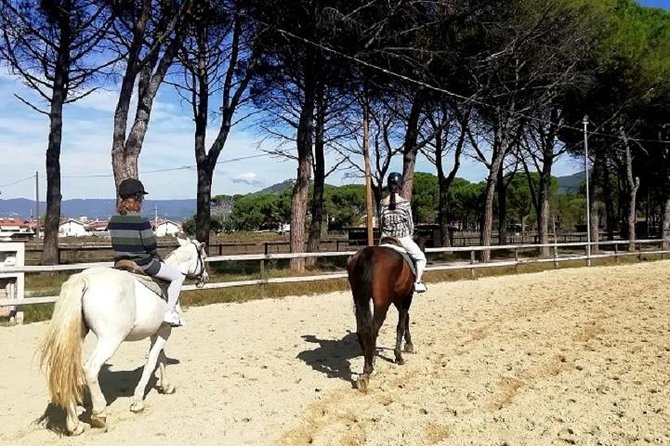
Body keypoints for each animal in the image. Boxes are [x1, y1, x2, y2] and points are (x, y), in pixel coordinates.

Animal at [39, 237, 208, 436]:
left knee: (67, 369)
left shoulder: (156, 332)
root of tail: (84, 279)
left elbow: (161, 359)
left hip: (76, 336)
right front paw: (138, 401)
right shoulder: (165, 330)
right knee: (90, 368)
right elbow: (152, 362)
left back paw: (74, 425)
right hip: (110, 340)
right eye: (203, 257)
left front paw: (166, 386)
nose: (205, 278)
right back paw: (99, 414)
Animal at [346, 244, 415, 392]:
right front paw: (399, 355)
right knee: (373, 330)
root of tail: (369, 252)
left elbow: (405, 317)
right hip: (382, 304)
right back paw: (368, 370)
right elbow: (401, 324)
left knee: (362, 331)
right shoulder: (407, 297)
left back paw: (369, 364)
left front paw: (408, 344)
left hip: (359, 300)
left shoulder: (398, 299)